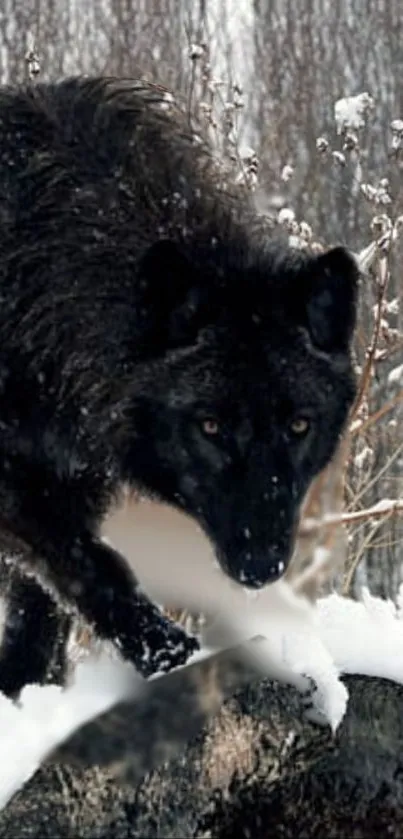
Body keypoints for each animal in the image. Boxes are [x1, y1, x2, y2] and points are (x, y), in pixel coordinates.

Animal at [0, 77, 359, 697]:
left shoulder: (71, 484)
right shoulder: (18, 487)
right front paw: (170, 657)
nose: (260, 564)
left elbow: (39, 615)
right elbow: (93, 567)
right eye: (210, 426)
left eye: (299, 425)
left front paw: (22, 696)